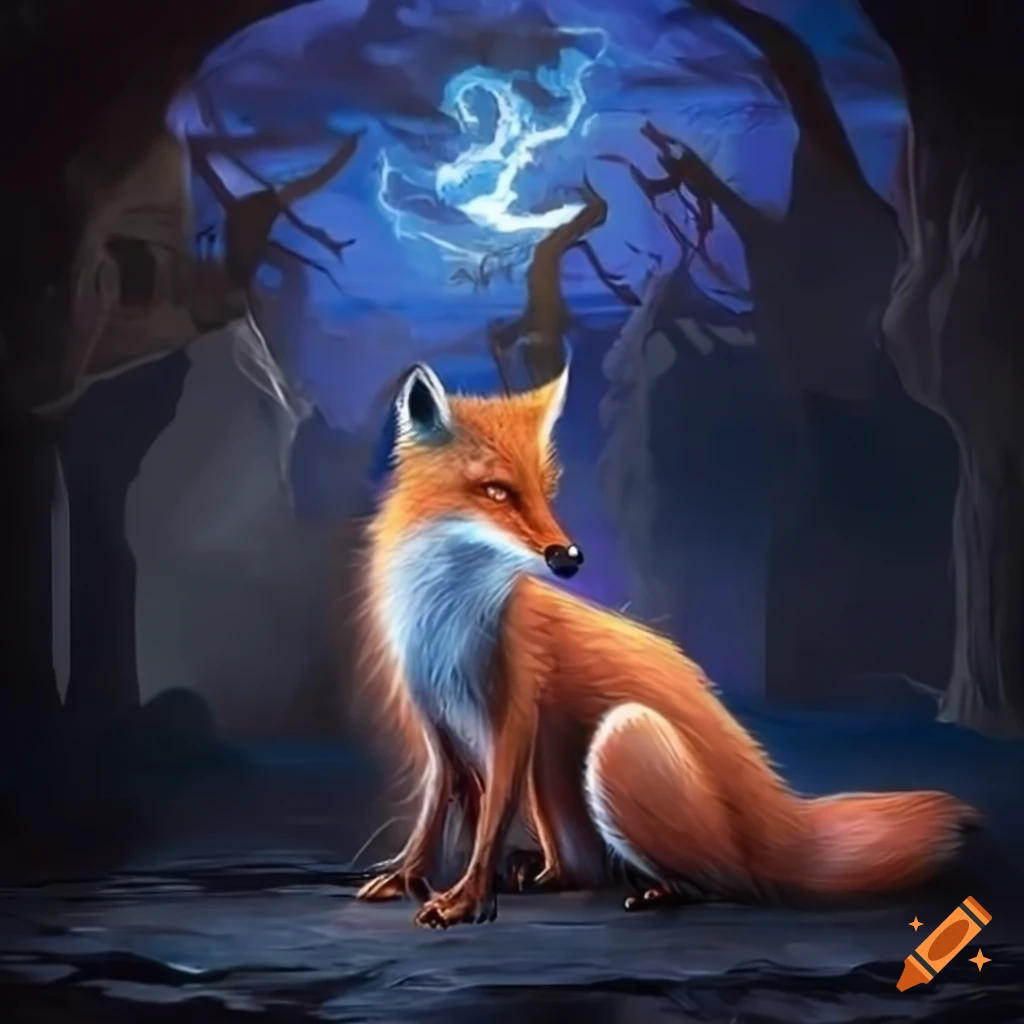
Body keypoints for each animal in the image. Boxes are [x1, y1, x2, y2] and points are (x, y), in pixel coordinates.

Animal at [353, 361, 980, 928]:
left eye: (546, 491)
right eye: (496, 491)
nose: (569, 557)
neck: (444, 623)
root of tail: (773, 820)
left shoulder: (516, 716)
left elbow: (487, 826)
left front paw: (465, 900)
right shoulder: (436, 725)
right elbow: (433, 813)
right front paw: (407, 877)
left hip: (620, 740)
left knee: (729, 885)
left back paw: (660, 891)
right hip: (559, 776)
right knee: (582, 869)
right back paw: (544, 873)